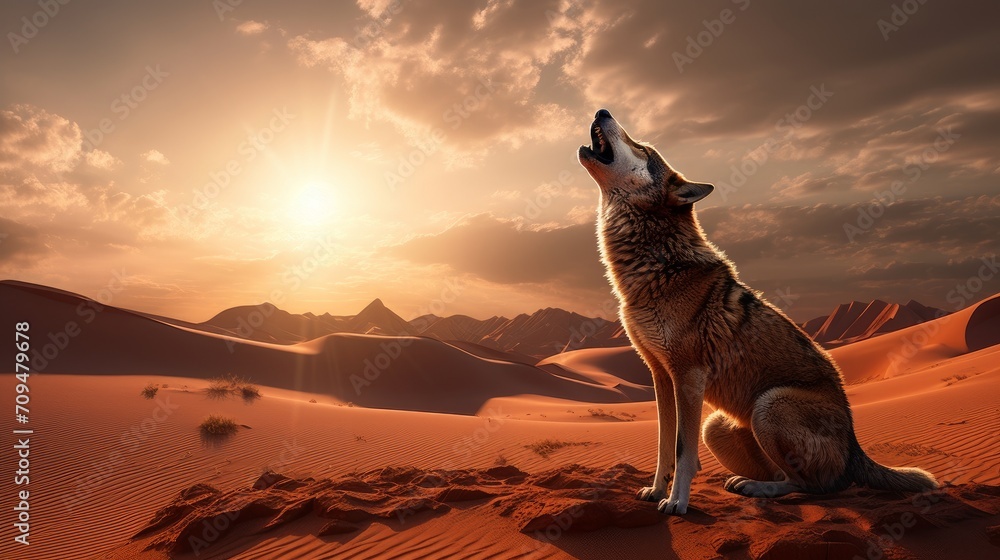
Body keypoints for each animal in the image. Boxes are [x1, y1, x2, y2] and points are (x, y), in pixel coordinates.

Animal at [578, 109, 937, 514]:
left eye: (642, 148)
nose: (602, 110)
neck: (657, 265)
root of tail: (855, 450)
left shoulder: (688, 377)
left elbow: (683, 451)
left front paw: (677, 502)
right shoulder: (661, 375)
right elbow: (663, 446)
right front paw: (657, 491)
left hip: (769, 406)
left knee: (814, 486)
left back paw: (756, 487)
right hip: (718, 425)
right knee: (792, 478)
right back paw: (745, 483)